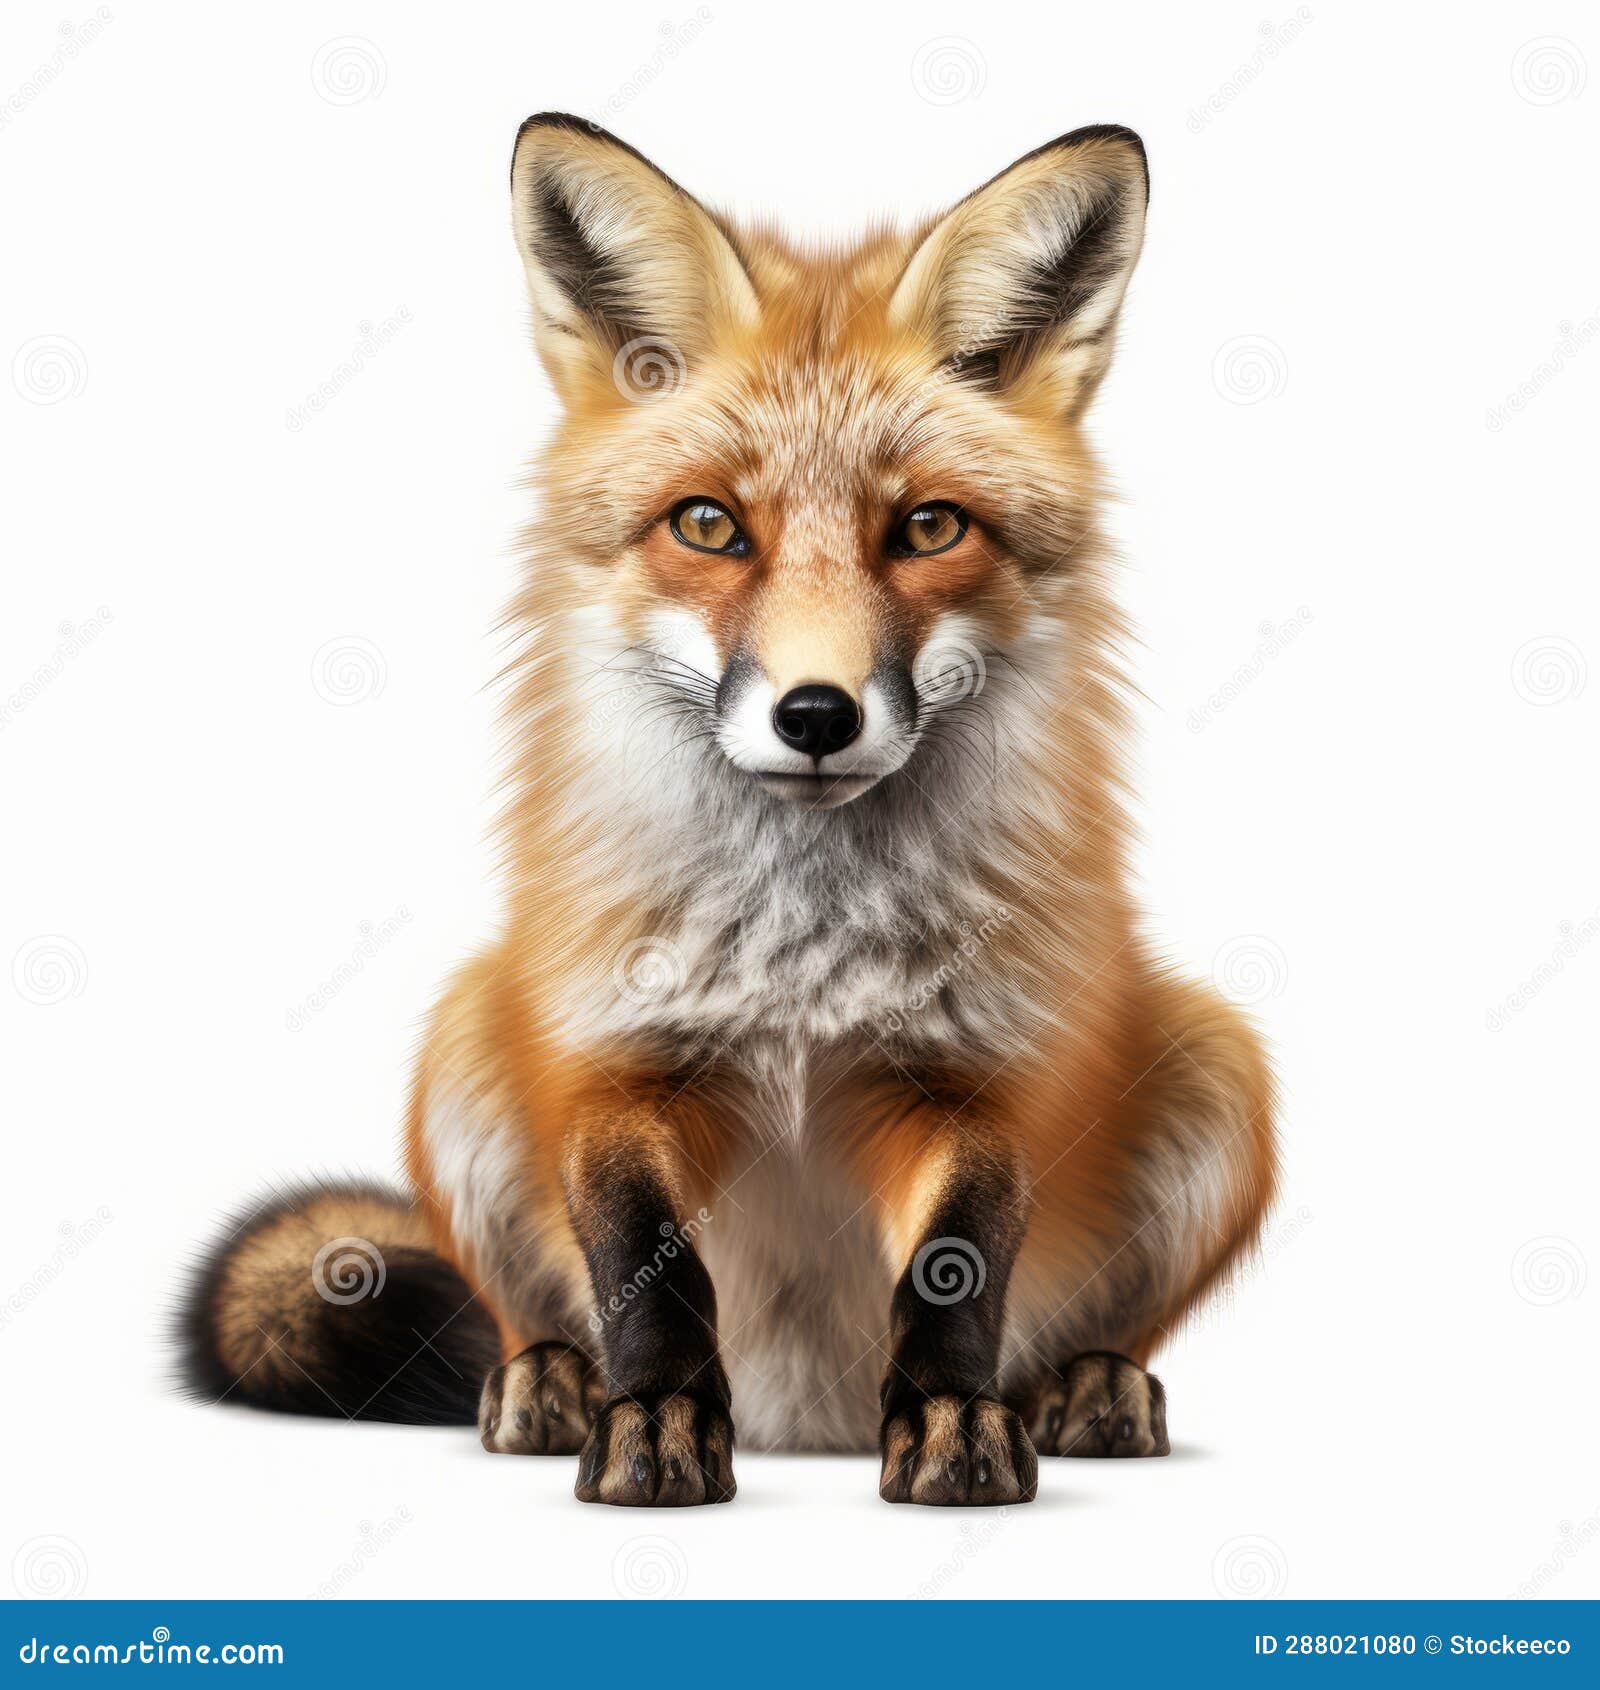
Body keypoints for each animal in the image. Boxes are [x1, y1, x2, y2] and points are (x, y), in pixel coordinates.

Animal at [178, 113, 1277, 1507]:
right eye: (708, 524)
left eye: (929, 527)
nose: (815, 715)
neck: (802, 960)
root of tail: (803, 1419)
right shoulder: (614, 1058)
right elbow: (644, 1263)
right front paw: (651, 1417)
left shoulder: (977, 1071)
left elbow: (957, 1265)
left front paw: (953, 1419)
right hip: (464, 1045)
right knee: (530, 1308)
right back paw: (548, 1381)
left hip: (1215, 1065)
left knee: (1088, 1327)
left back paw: (1084, 1385)